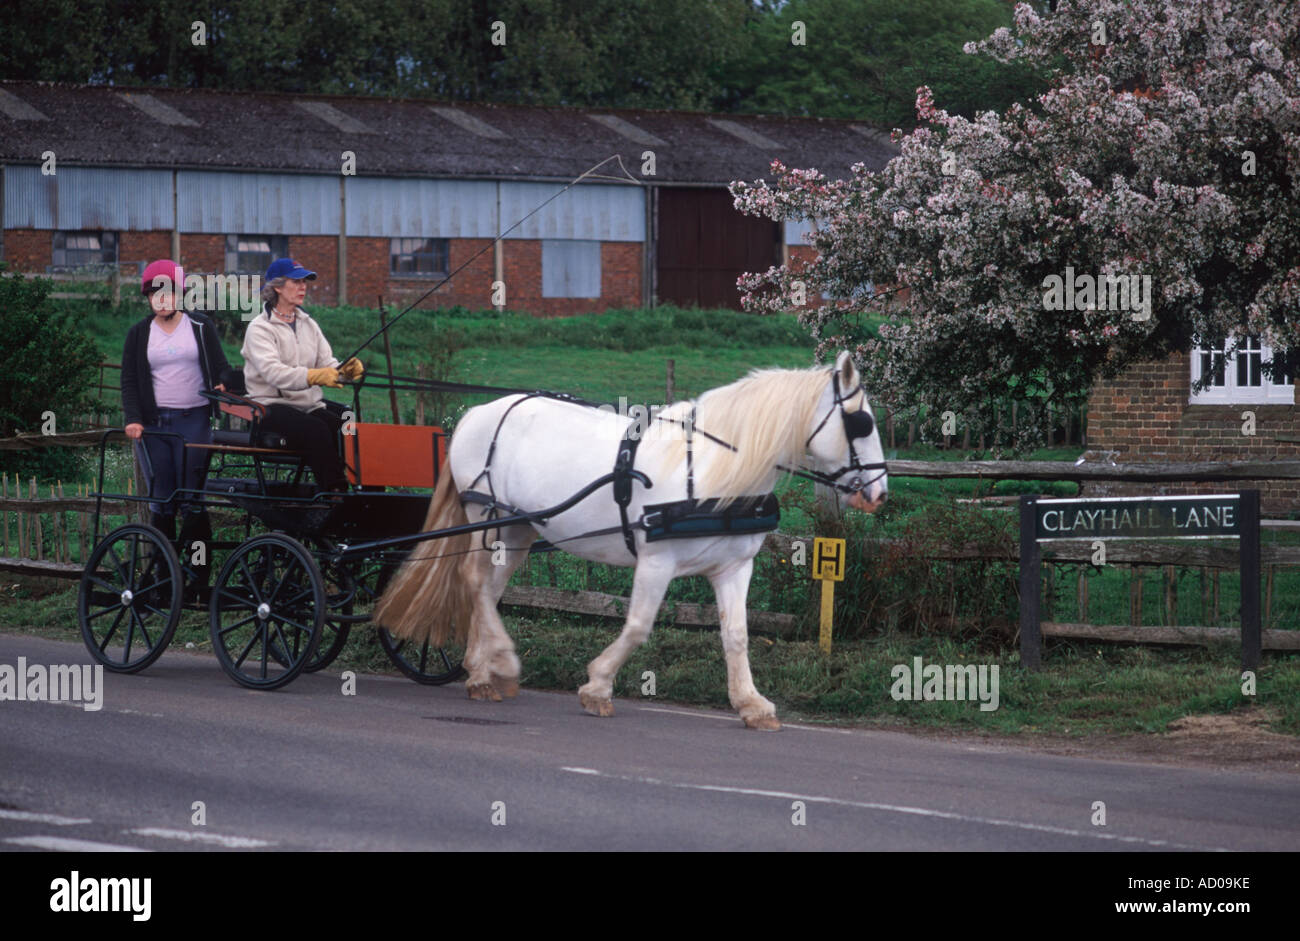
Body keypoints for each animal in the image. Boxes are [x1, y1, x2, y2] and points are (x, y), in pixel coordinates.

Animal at [372, 351, 888, 729]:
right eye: (861, 423)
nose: (880, 493)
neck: (710, 470)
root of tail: (478, 412)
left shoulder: (733, 568)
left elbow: (737, 635)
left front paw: (751, 704)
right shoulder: (656, 563)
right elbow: (639, 626)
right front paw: (597, 687)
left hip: (517, 528)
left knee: (489, 590)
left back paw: (483, 673)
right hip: (486, 517)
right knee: (475, 583)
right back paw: (501, 666)